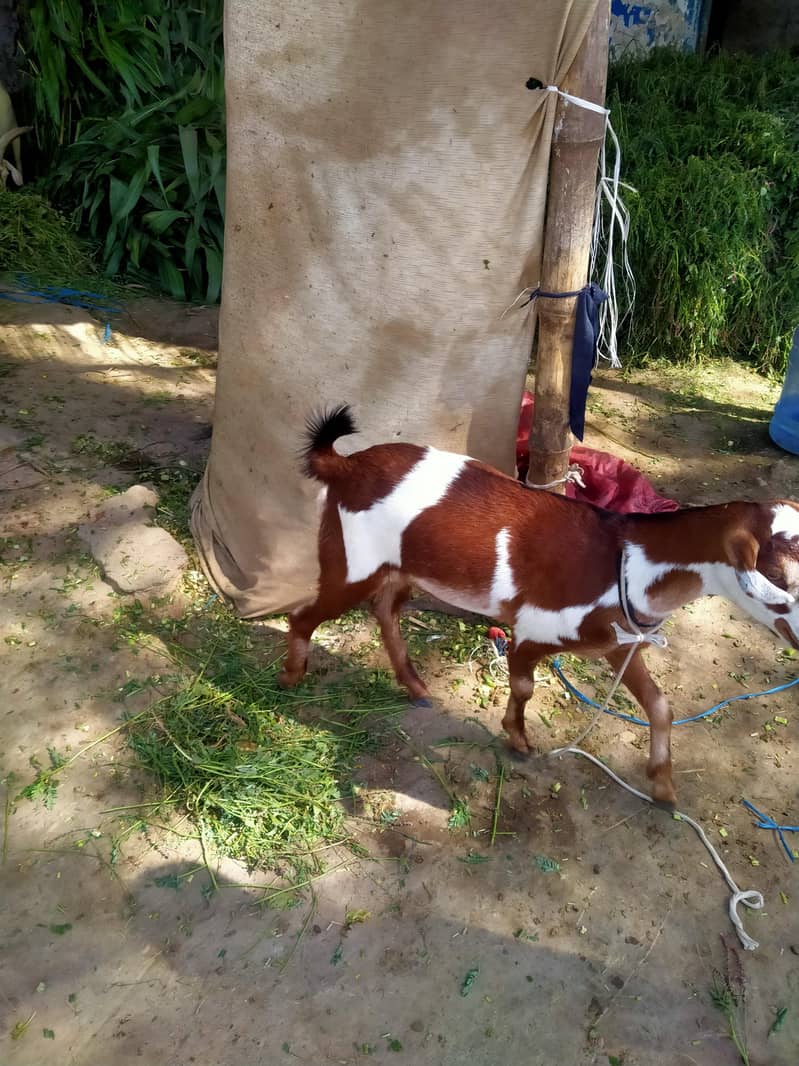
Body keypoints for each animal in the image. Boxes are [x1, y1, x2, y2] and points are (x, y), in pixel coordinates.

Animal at [279, 406, 799, 807]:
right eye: (780, 574)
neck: (627, 560)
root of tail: (344, 466)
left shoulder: (617, 644)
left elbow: (660, 705)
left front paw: (663, 787)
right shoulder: (532, 632)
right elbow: (525, 685)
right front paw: (518, 740)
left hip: (400, 567)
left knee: (386, 610)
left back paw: (415, 685)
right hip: (352, 563)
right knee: (304, 614)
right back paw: (291, 680)